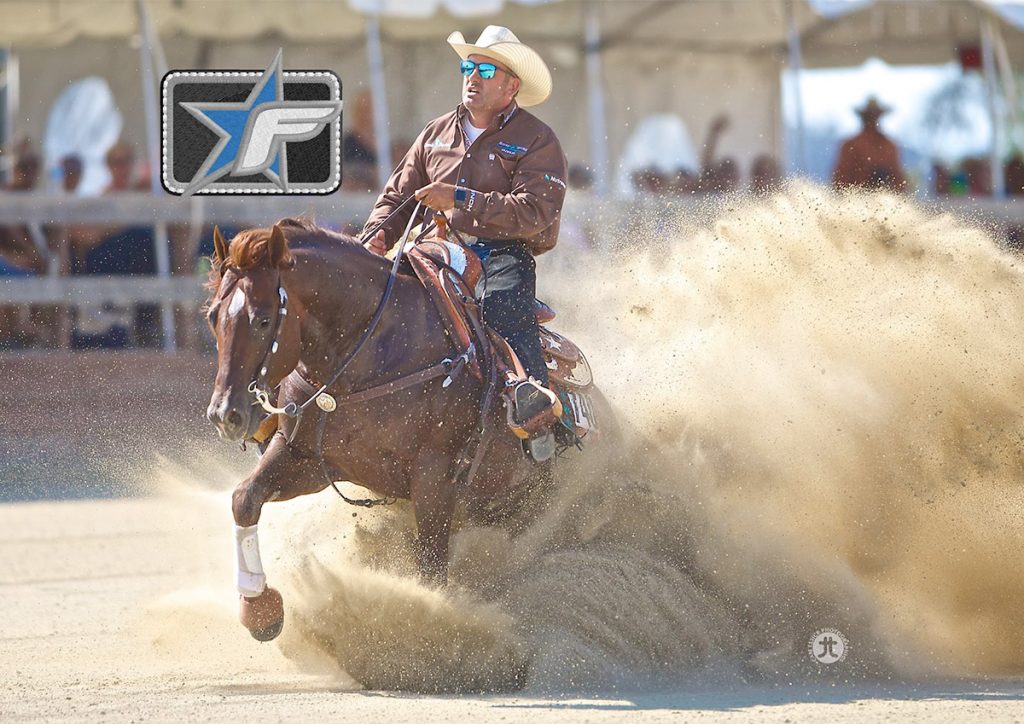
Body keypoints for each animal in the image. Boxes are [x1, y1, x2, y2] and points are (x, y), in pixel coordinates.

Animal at [204, 218, 600, 642]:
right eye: (212, 316)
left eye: (263, 319)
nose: (225, 414)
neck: (369, 354)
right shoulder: (308, 458)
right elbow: (245, 498)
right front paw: (259, 610)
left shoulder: (434, 475)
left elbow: (431, 567)